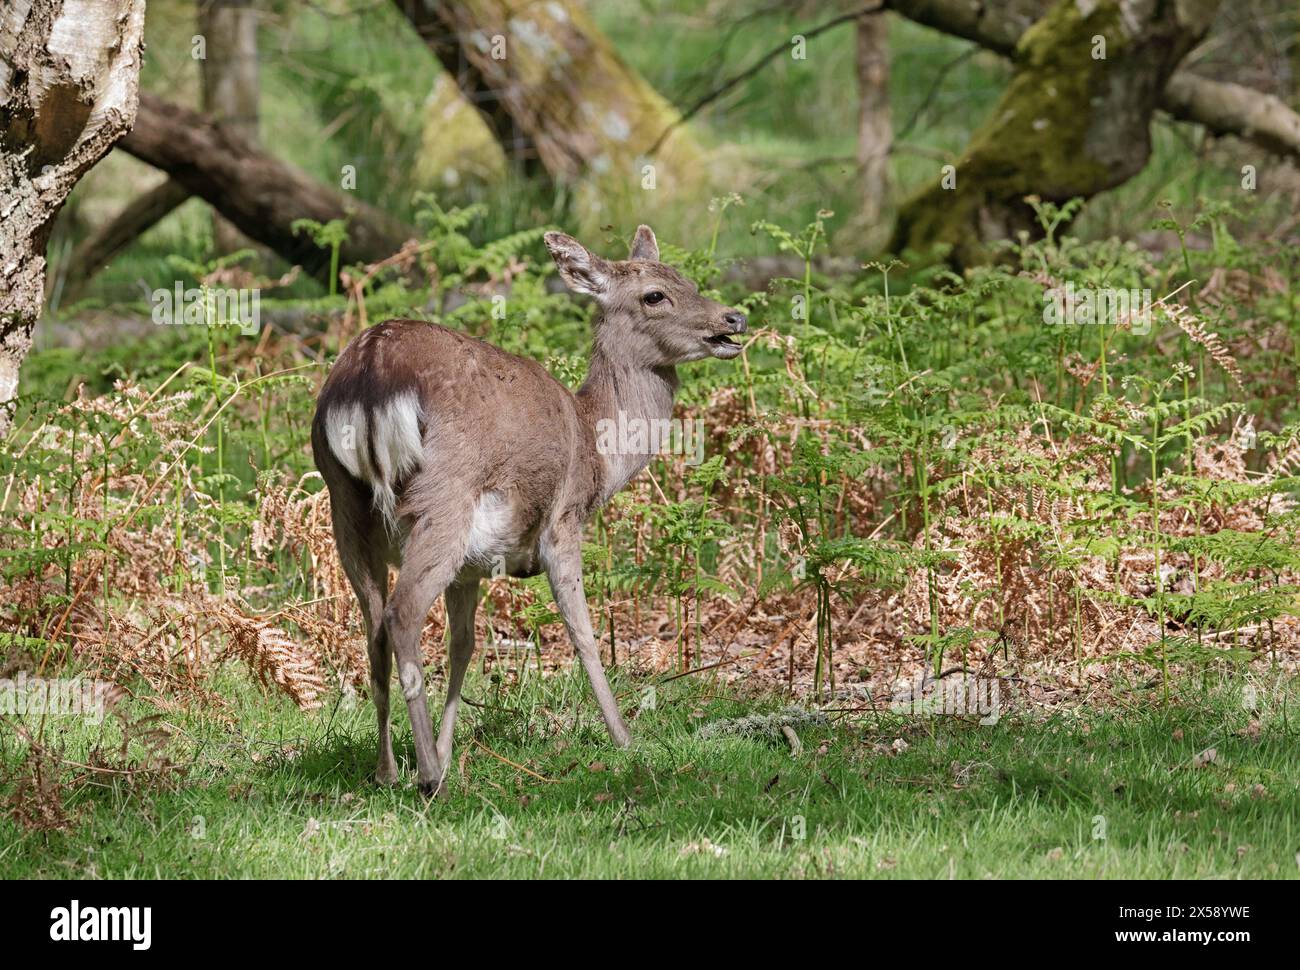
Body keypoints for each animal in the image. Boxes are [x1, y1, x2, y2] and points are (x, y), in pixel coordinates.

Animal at [311, 225, 747, 795]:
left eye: (689, 281)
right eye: (655, 295)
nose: (733, 319)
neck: (597, 450)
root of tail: (369, 374)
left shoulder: (472, 567)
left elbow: (464, 645)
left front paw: (450, 748)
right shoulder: (563, 521)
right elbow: (583, 633)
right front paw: (625, 738)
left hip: (344, 507)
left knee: (373, 630)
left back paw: (388, 770)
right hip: (444, 496)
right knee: (401, 615)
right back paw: (428, 778)